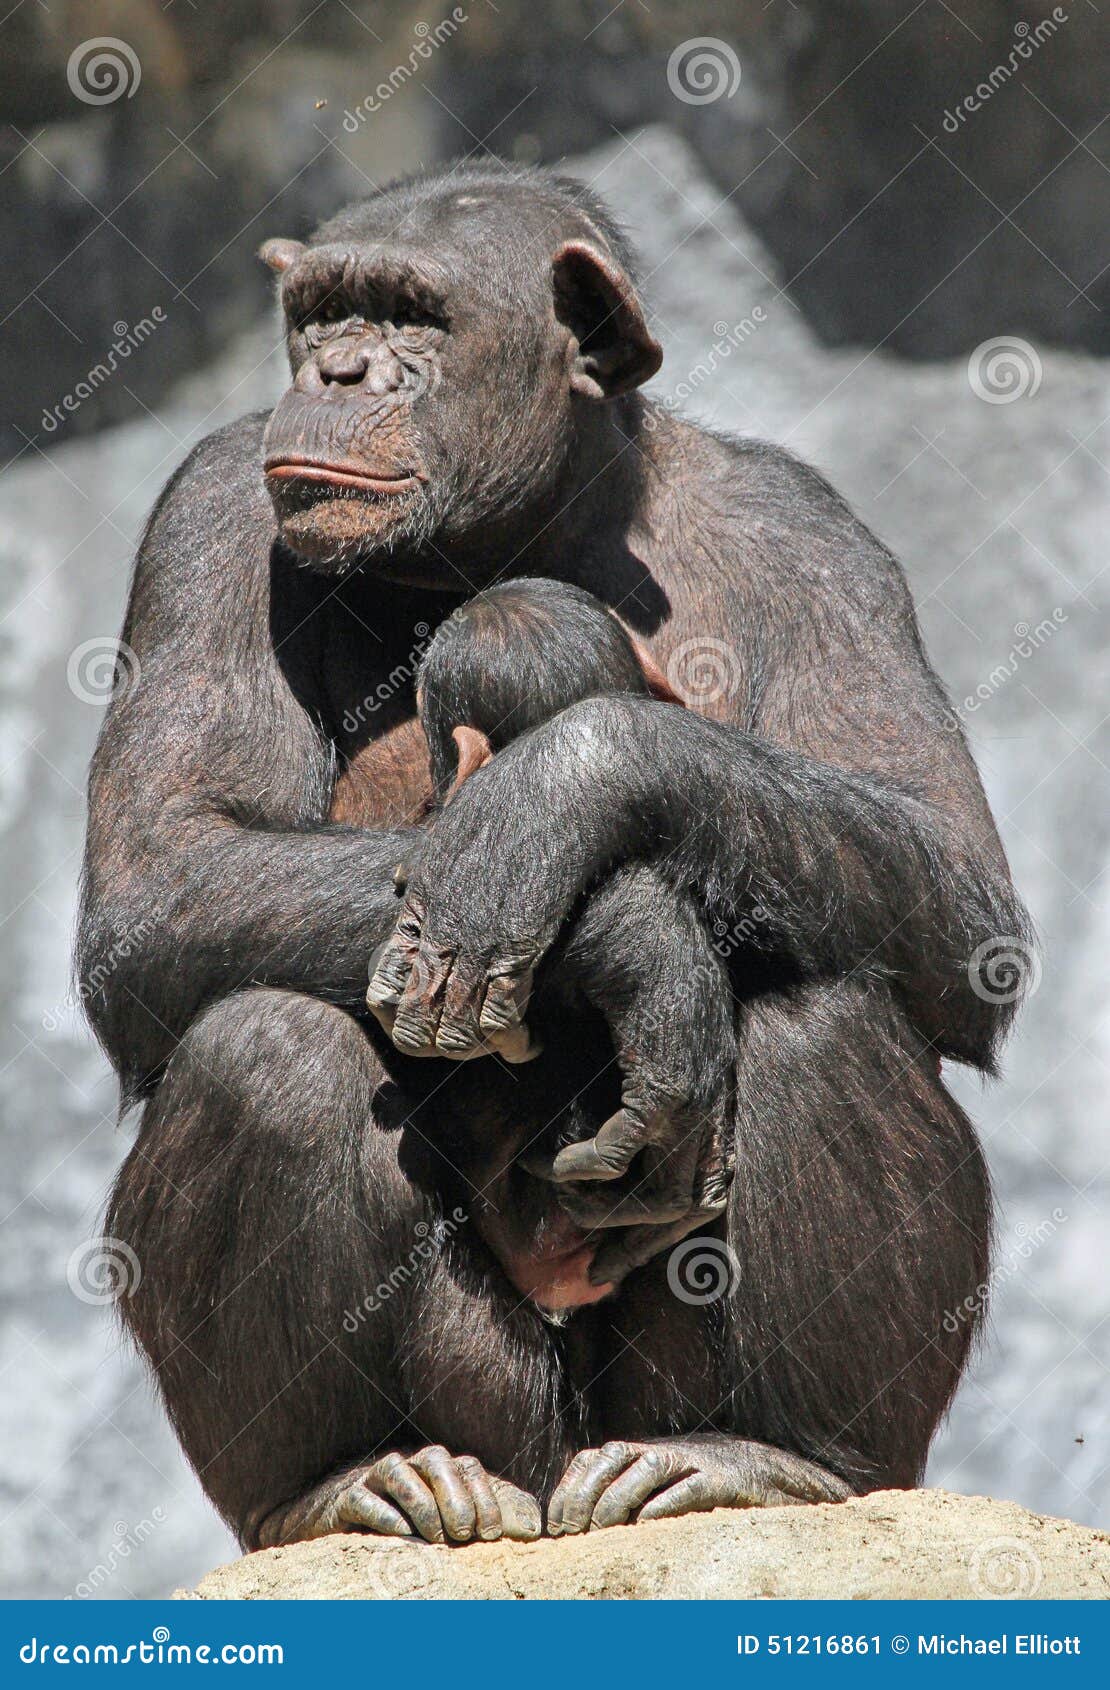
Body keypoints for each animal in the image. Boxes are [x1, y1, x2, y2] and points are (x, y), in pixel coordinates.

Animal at [78, 160, 1028, 1550]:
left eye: (414, 316)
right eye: (321, 314)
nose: (339, 371)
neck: (529, 518)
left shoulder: (818, 538)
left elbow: (955, 887)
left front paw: (565, 792)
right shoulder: (204, 519)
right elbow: (161, 875)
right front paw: (630, 941)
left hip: (639, 1416)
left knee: (825, 1013)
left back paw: (774, 1455)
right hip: (501, 1410)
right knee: (263, 1049)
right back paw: (346, 1479)